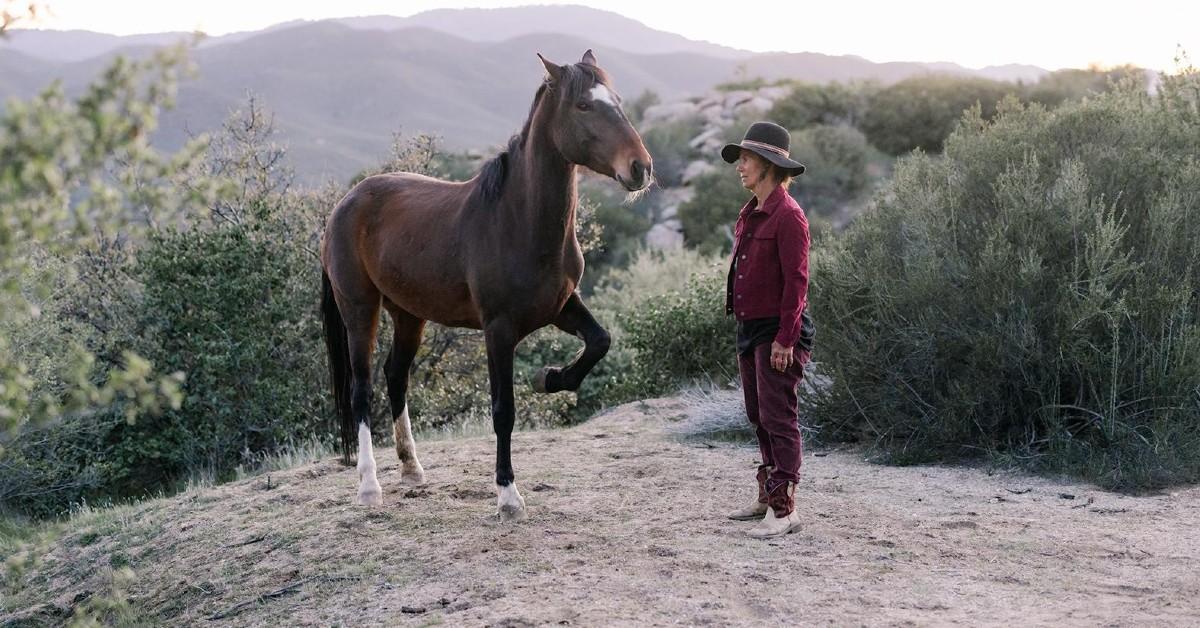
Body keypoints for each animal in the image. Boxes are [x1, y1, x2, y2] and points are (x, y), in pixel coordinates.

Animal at [320, 49, 653, 520]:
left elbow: (599, 341)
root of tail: (345, 204)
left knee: (395, 376)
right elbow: (503, 410)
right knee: (361, 389)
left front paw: (551, 378)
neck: (516, 219)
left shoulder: (561, 305)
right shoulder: (499, 330)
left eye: (618, 101)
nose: (641, 167)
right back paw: (369, 487)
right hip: (359, 308)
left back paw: (412, 469)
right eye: (583, 105)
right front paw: (508, 496)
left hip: (409, 314)